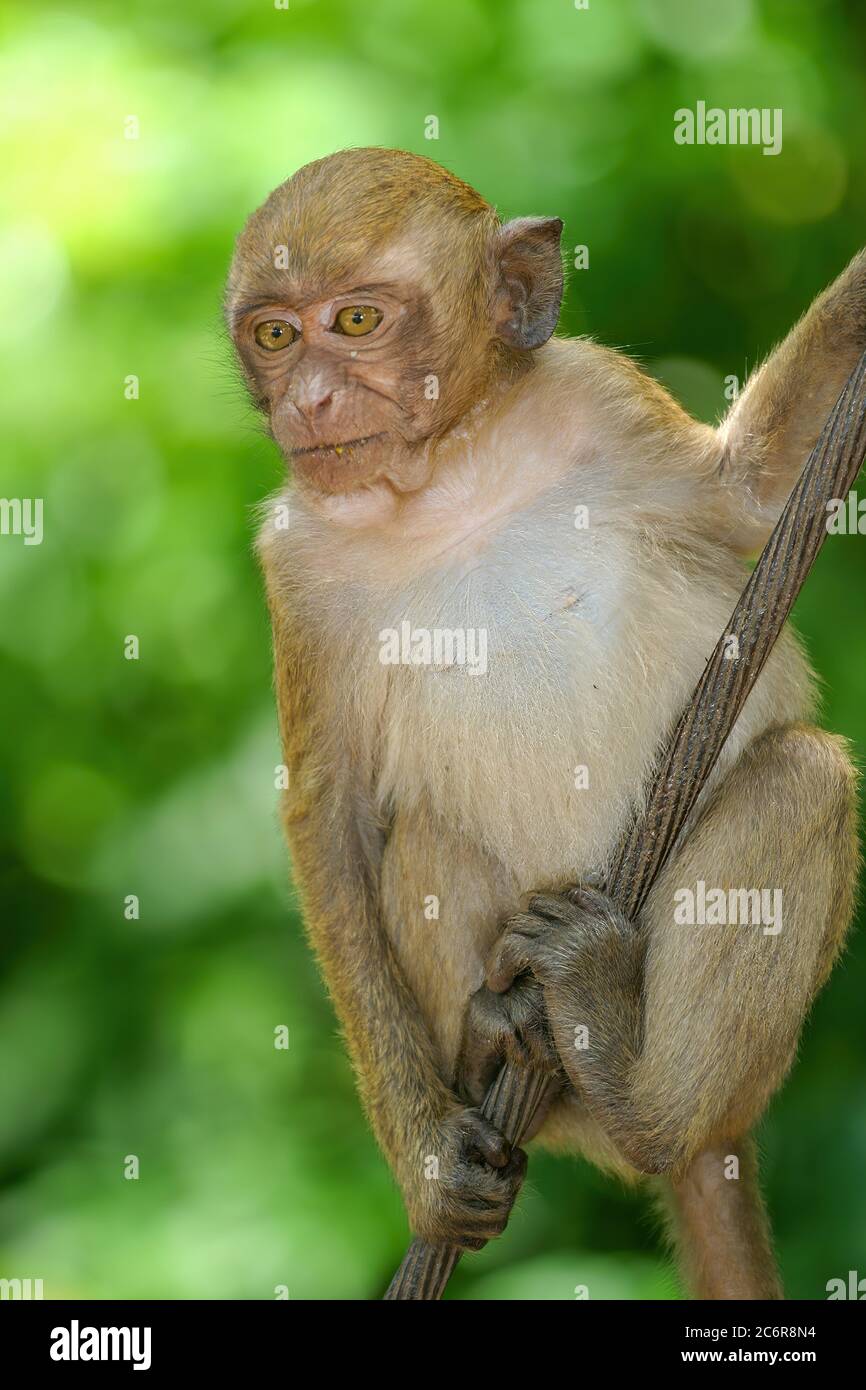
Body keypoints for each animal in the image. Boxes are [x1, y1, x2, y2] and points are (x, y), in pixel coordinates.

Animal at [226, 147, 861, 1298]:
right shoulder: (293, 561)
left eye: (354, 321)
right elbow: (328, 813)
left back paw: (636, 1085)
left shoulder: (595, 395)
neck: (444, 473)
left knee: (800, 773)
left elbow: (752, 490)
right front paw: (428, 1162)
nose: (309, 399)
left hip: (741, 1063)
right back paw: (502, 1038)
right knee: (422, 836)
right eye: (275, 335)